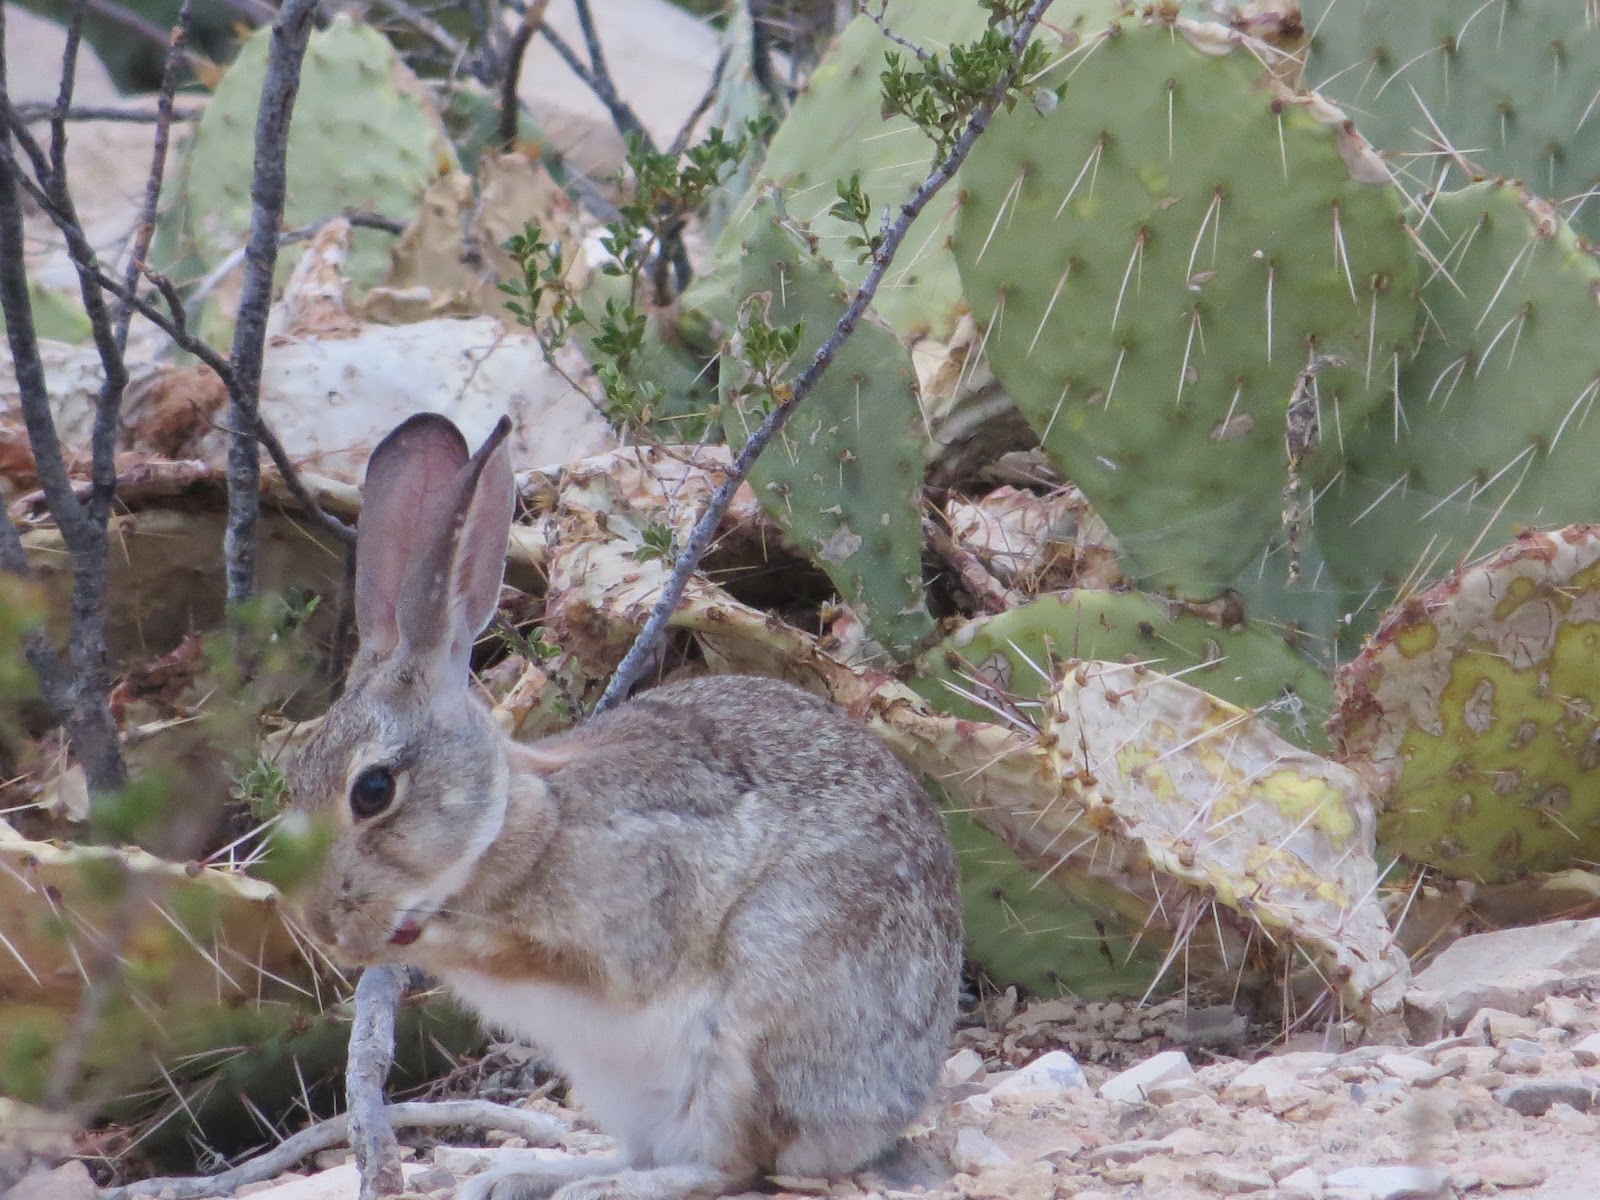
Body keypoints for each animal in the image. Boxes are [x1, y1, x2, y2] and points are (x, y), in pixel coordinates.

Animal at [285, 413, 964, 1200]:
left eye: (373, 791)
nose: (323, 925)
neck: (512, 827)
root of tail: (888, 1112)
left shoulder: (635, 904)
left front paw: (421, 935)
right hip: (621, 1086)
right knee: (648, 1150)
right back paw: (518, 1174)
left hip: (749, 1037)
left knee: (731, 1164)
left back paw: (594, 1187)